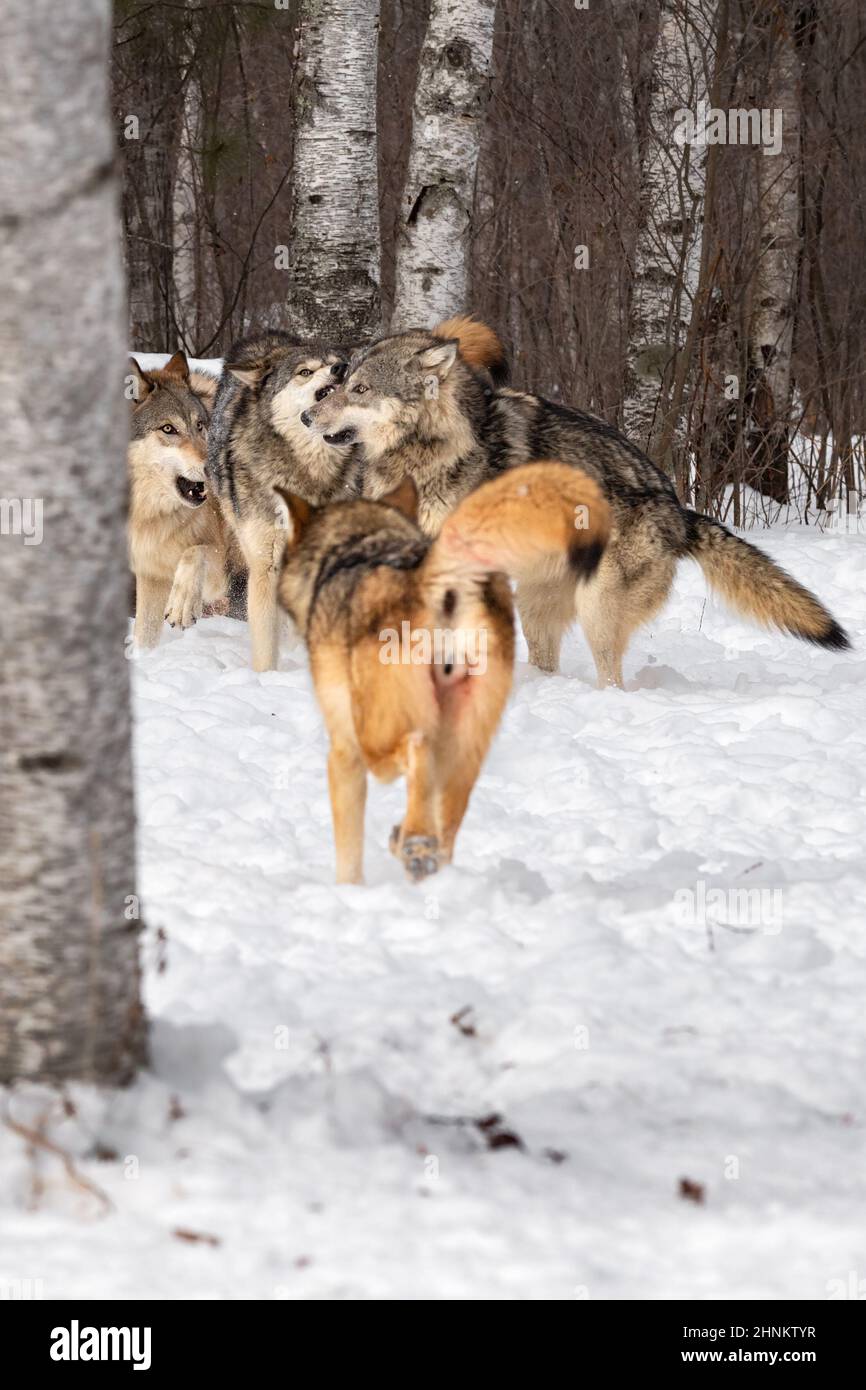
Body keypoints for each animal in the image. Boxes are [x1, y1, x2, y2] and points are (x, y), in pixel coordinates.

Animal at [127, 351, 237, 648]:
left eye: (200, 426)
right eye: (168, 428)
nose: (214, 467)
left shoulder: (218, 573)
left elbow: (195, 551)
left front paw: (182, 603)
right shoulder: (151, 574)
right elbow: (144, 636)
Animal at [208, 330, 357, 671]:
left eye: (337, 362)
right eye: (305, 372)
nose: (341, 368)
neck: (307, 473)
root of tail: (268, 338)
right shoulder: (266, 567)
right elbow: (265, 643)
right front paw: (266, 678)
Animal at [276, 461, 609, 884]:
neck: (354, 544)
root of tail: (441, 574)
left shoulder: (343, 755)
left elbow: (348, 857)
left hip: (379, 736)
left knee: (419, 756)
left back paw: (413, 843)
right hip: (469, 744)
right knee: (447, 822)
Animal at [301, 316, 849, 687]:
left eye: (360, 388)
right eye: (341, 383)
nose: (307, 416)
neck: (431, 447)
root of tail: (681, 513)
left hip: (597, 609)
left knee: (613, 677)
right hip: (538, 602)